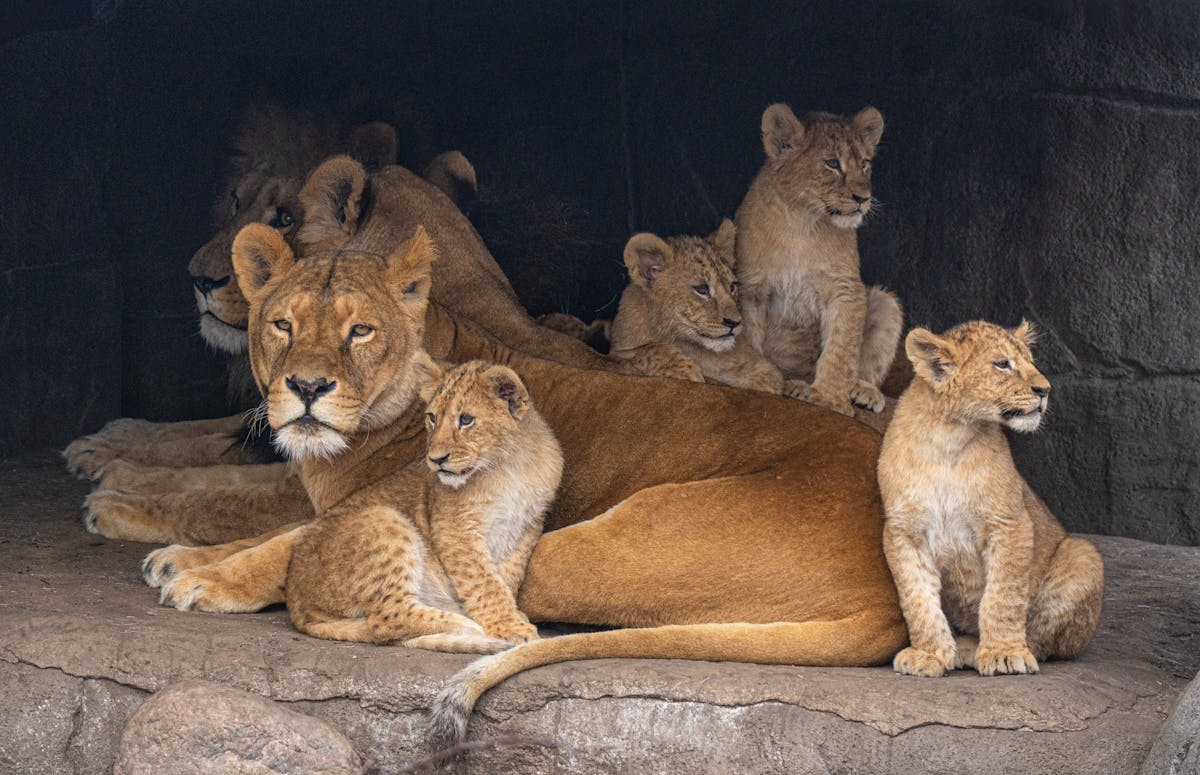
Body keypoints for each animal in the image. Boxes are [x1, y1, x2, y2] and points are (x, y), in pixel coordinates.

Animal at [609, 218, 783, 393]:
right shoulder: (616, 351)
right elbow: (646, 349)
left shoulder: (764, 368)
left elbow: (765, 381)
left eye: (732, 286)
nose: (735, 322)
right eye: (702, 289)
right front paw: (686, 371)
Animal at [735, 103, 904, 416]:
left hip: (885, 301)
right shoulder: (751, 288)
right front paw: (758, 382)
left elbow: (841, 347)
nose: (864, 198)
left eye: (865, 163)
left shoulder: (844, 289)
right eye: (832, 163)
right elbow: (750, 338)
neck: (802, 223)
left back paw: (861, 391)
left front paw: (829, 400)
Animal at [878, 321, 1103, 677]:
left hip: (1083, 554)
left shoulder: (1010, 523)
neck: (948, 437)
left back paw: (977, 648)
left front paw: (1003, 654)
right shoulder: (904, 532)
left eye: (1030, 360)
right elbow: (917, 597)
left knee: (1045, 642)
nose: (1046, 389)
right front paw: (928, 654)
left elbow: (1003, 595)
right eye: (1002, 364)